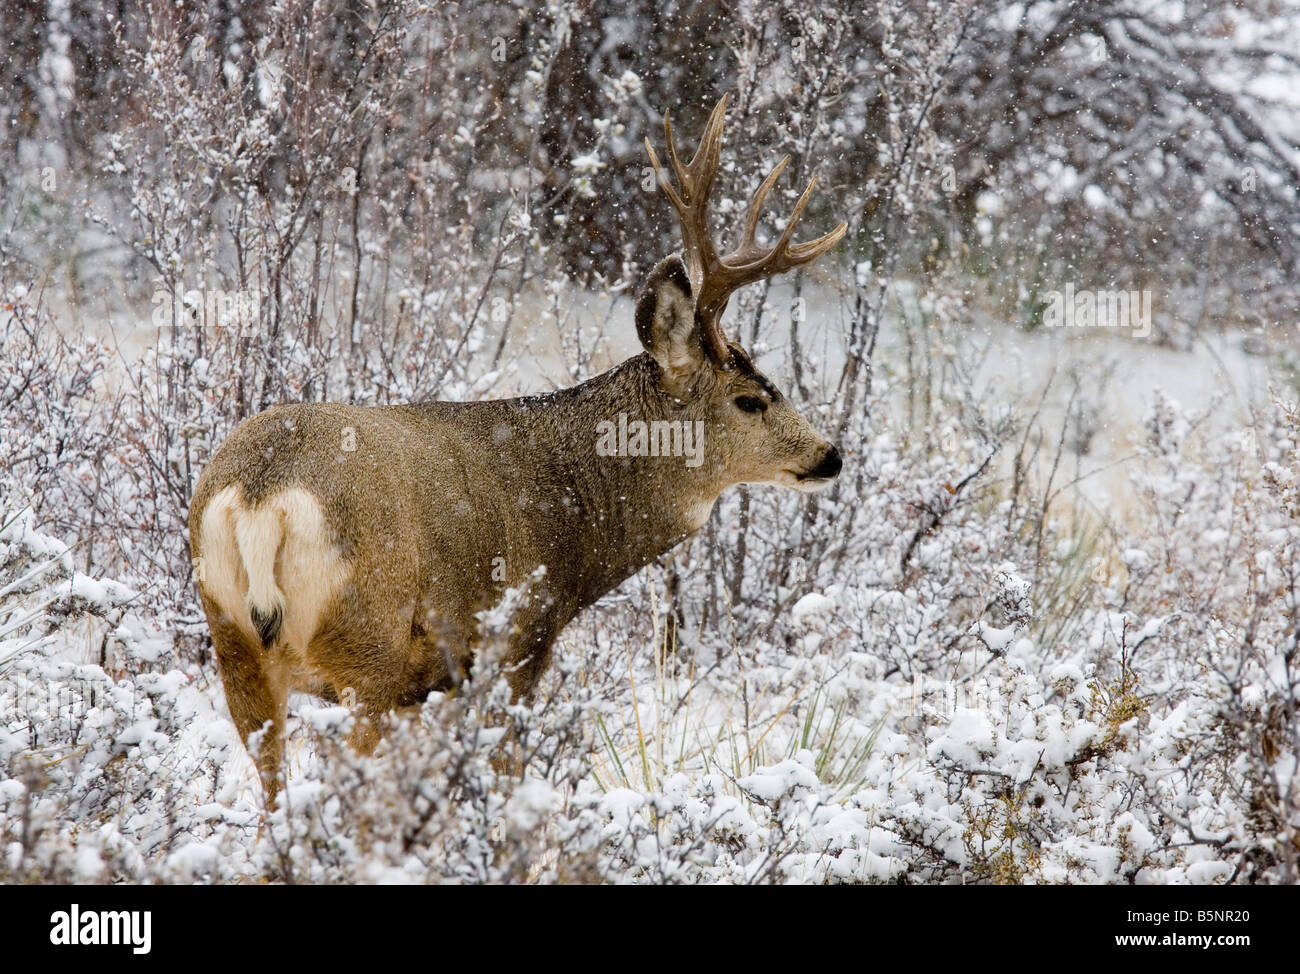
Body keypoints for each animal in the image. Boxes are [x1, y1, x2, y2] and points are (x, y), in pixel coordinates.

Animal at [188, 93, 847, 802]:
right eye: (751, 399)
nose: (830, 455)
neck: (579, 510)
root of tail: (260, 495)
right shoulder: (518, 640)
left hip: (235, 644)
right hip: (369, 646)